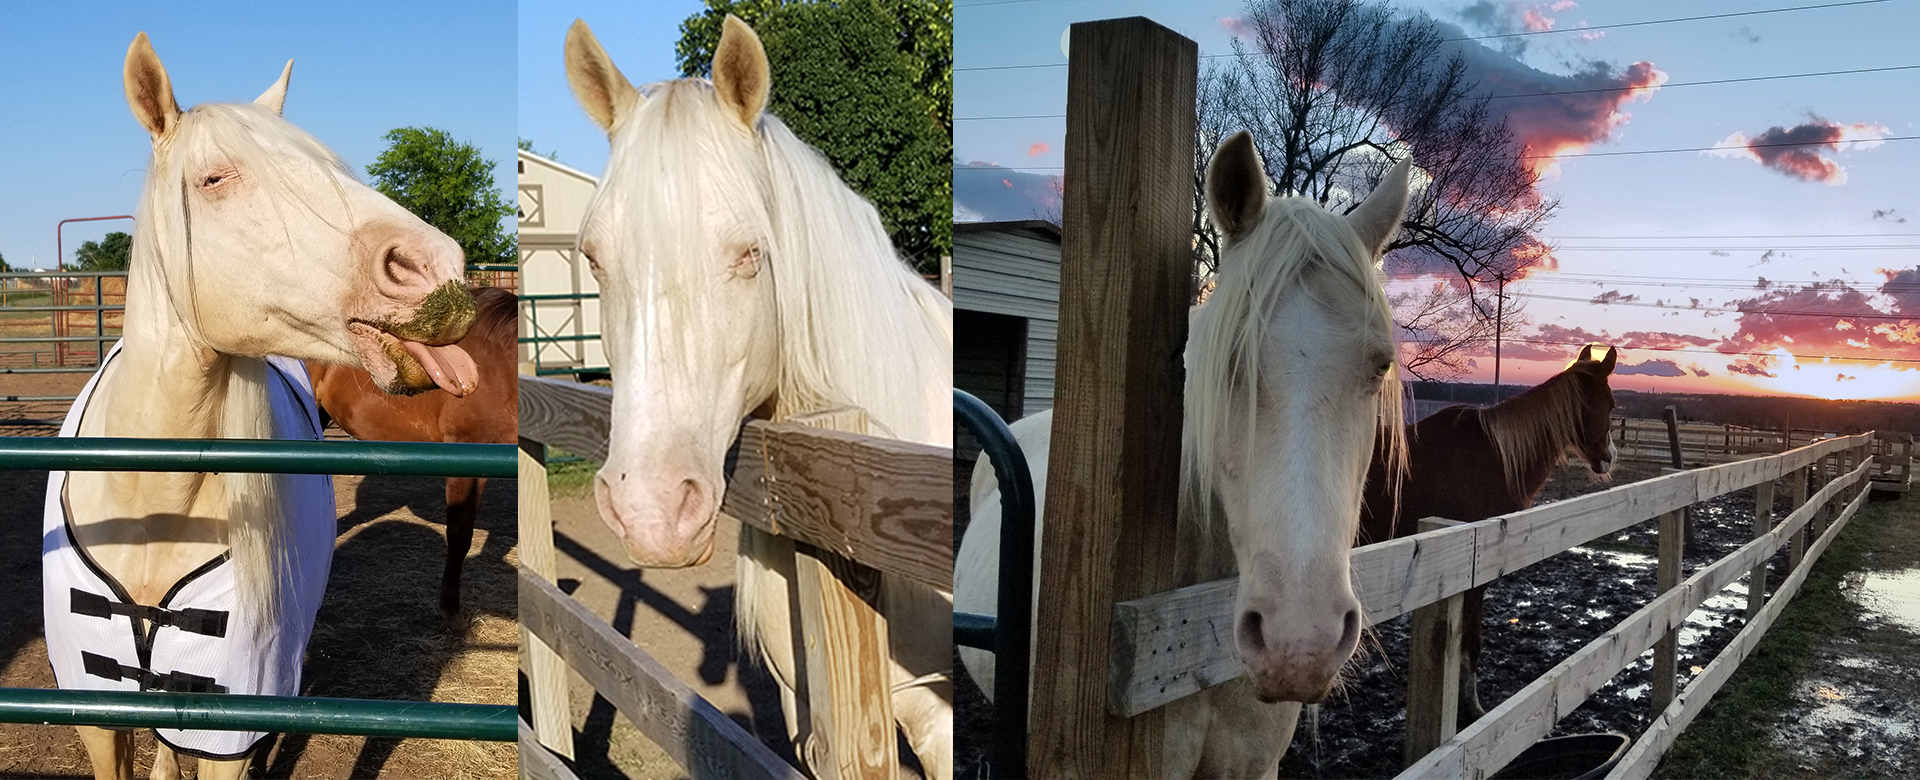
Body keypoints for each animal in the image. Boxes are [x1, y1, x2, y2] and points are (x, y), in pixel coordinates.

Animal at [1359, 343, 1618, 725]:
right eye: (1611, 403)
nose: (1608, 457)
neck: (1495, 458)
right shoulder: (1472, 577)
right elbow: (1471, 642)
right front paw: (1471, 707)